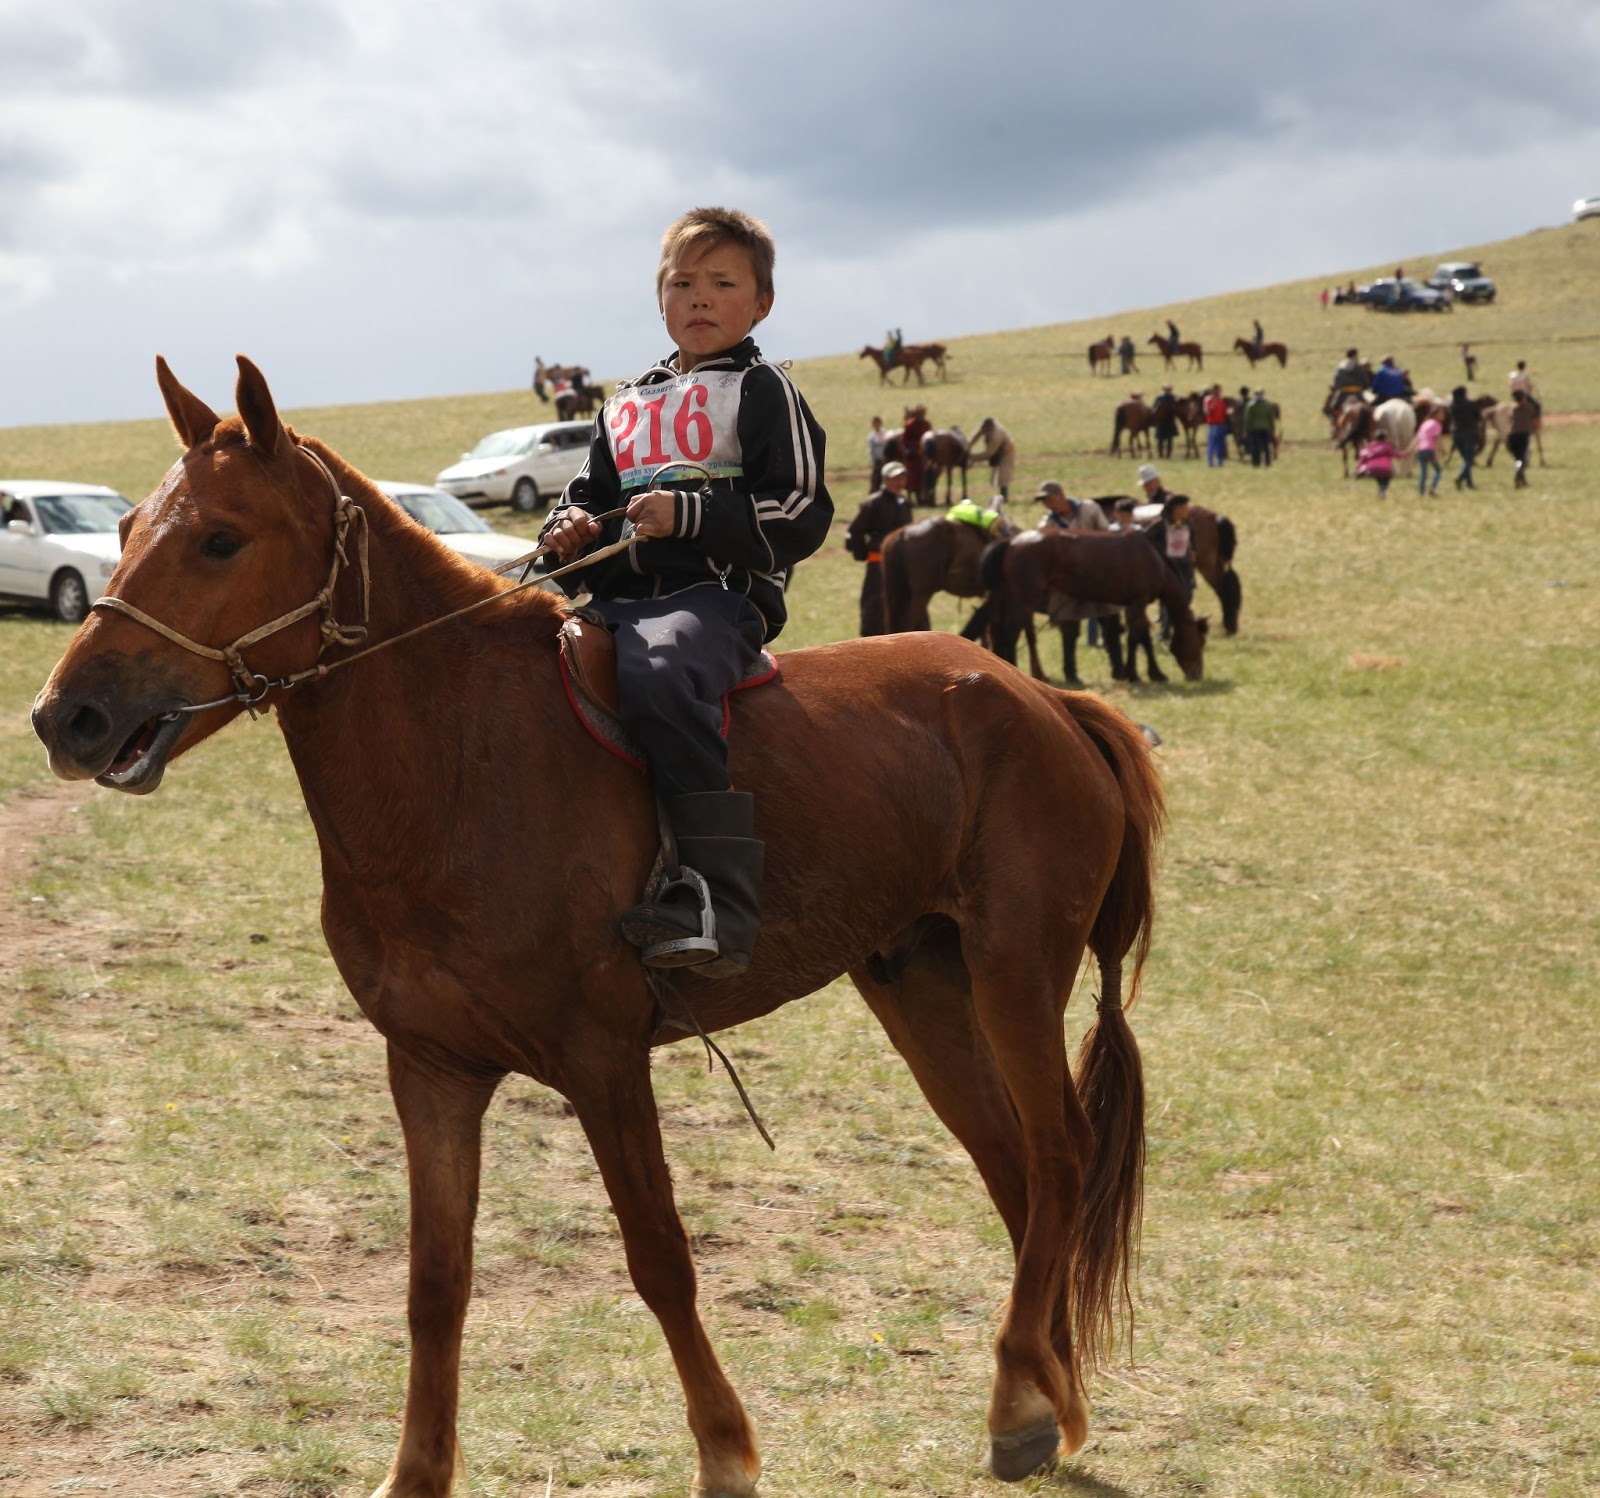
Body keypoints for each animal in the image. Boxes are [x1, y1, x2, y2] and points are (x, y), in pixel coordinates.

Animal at [32, 355, 1160, 1498]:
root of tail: (1048, 702)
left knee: (1060, 1155)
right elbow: (436, 1282)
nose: (63, 717)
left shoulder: (602, 1060)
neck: (455, 759)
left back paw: (1022, 1390)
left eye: (221, 538)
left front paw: (723, 1450)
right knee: (1015, 1170)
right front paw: (417, 1470)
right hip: (923, 985)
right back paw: (1044, 1399)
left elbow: (658, 1255)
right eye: (125, 531)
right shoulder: (432, 1067)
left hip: (1014, 971)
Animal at [980, 529, 1208, 686]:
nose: (1197, 673)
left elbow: (1142, 637)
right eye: (1200, 642)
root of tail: (1012, 542)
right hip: (1025, 601)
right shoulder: (1138, 602)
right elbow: (1136, 638)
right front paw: (1137, 674)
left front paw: (1150, 673)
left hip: (1008, 597)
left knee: (1001, 633)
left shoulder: (1135, 605)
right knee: (1011, 635)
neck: (1154, 558)